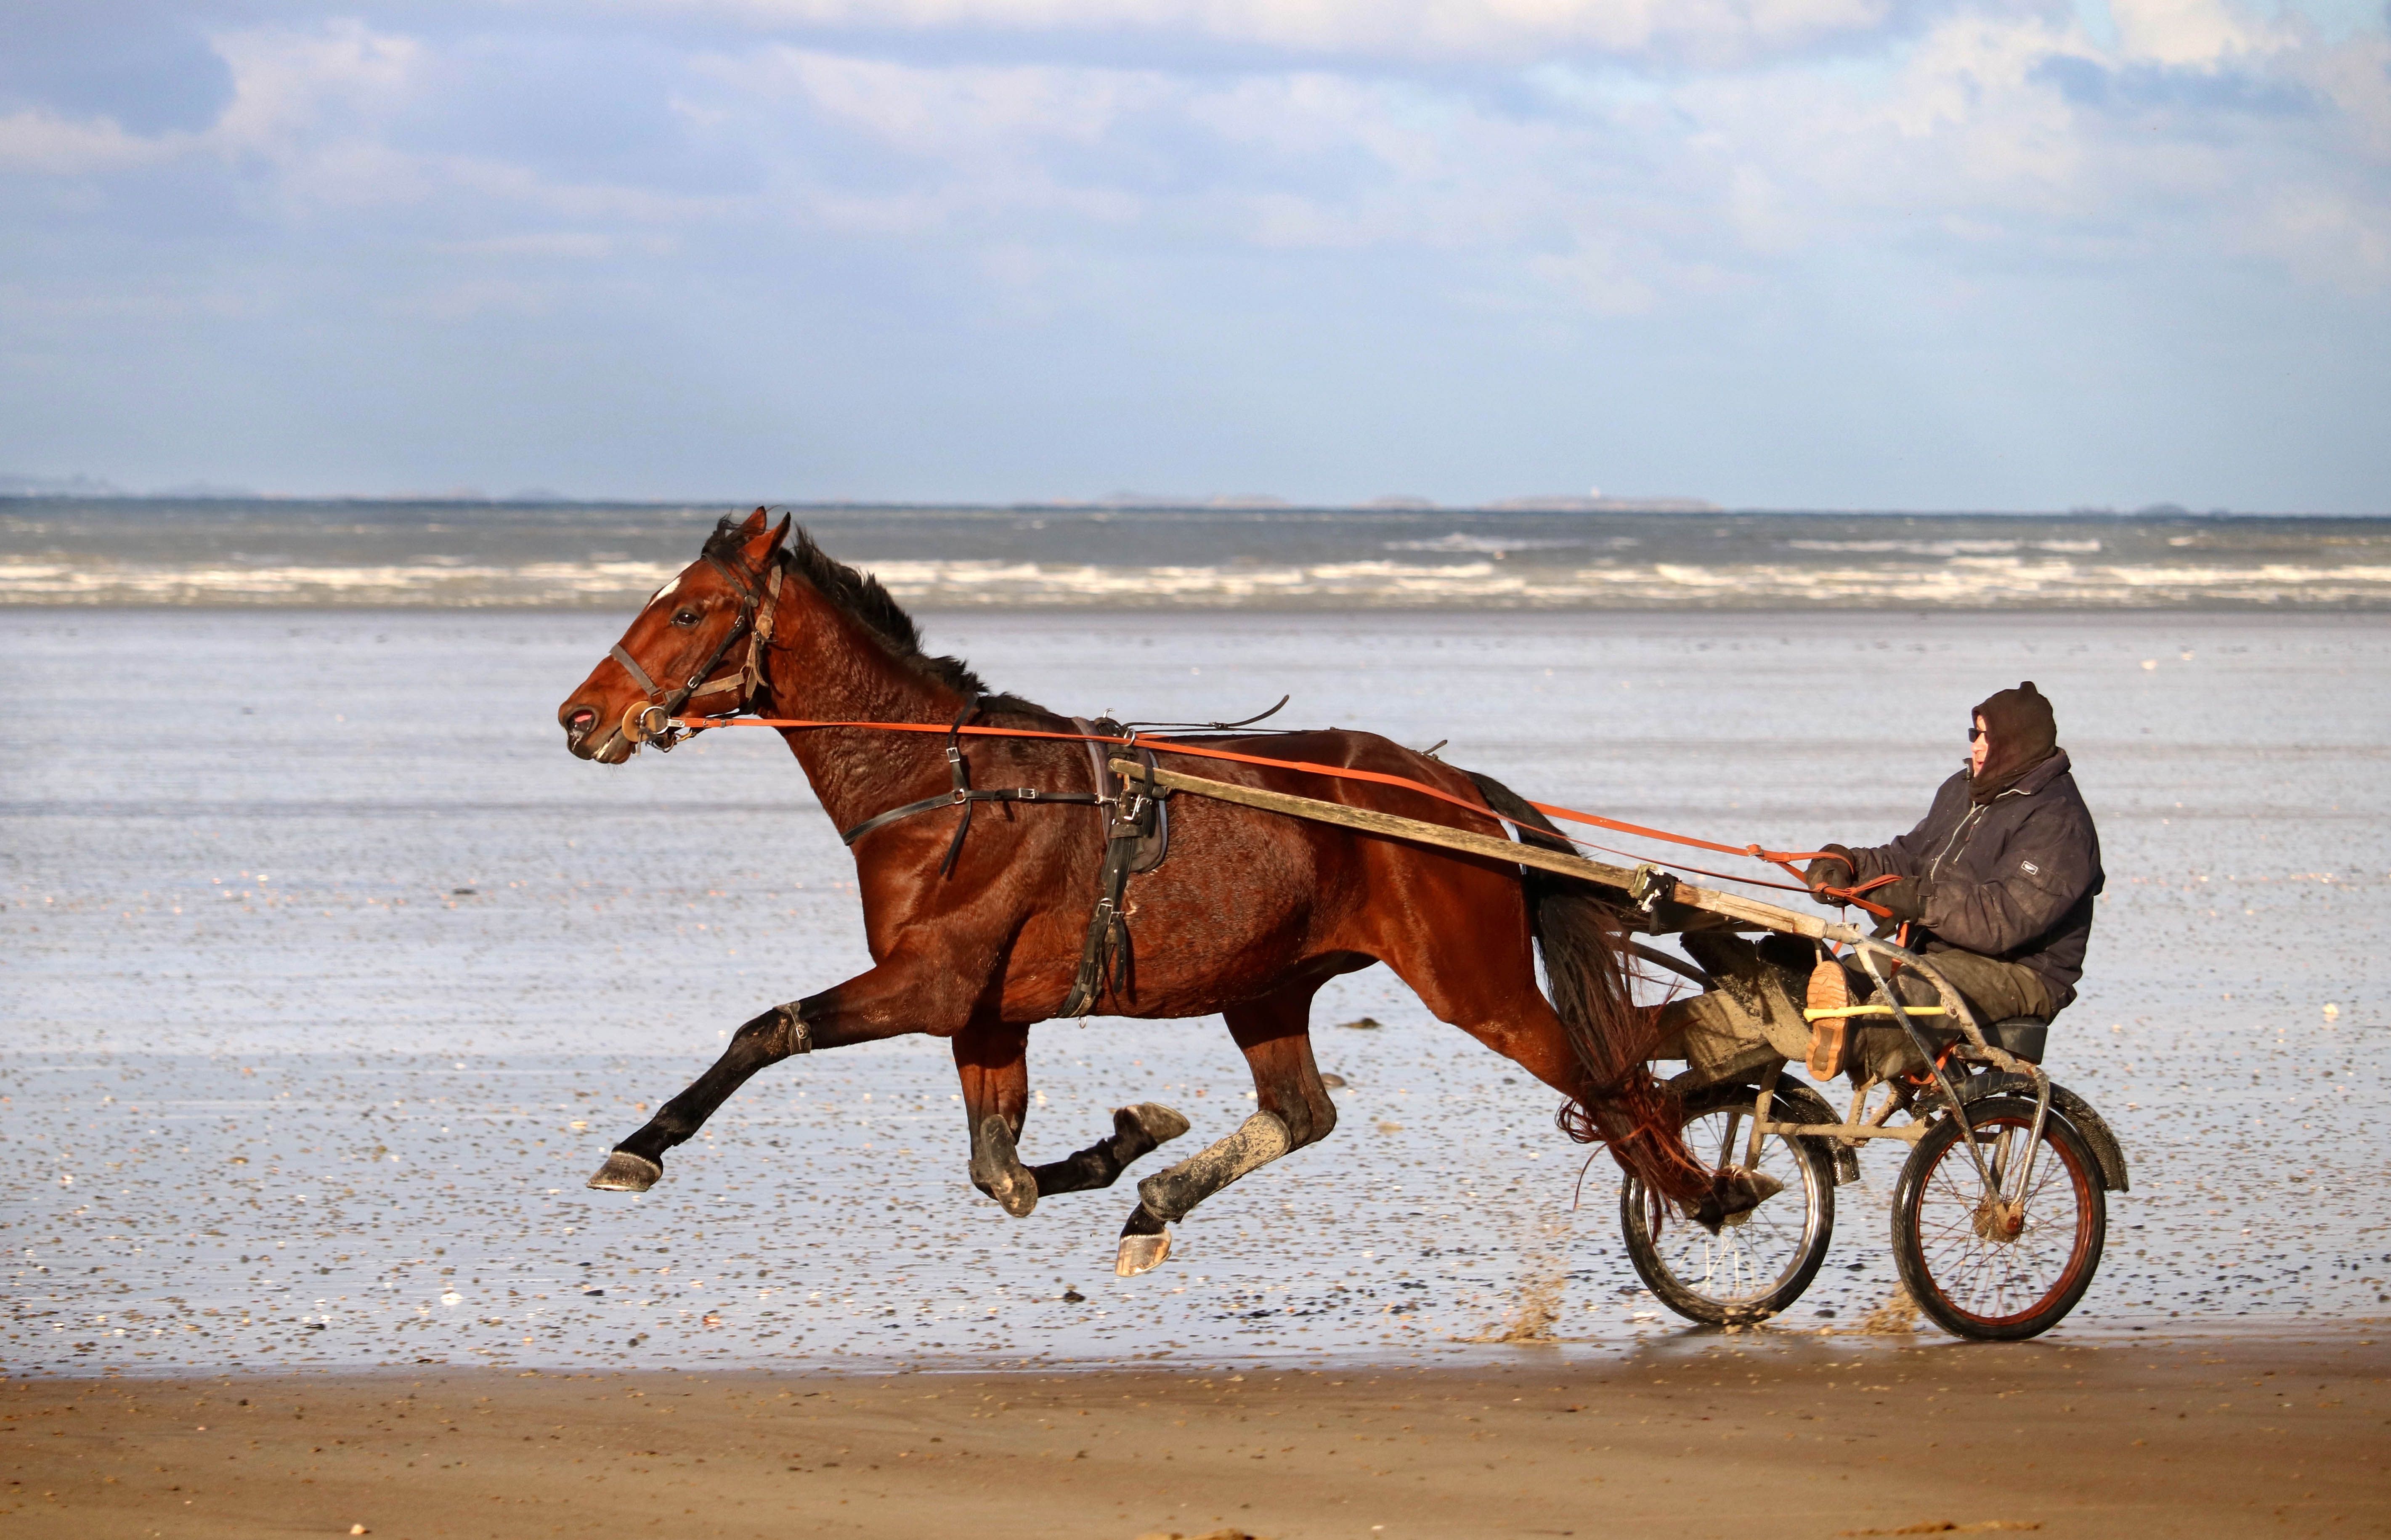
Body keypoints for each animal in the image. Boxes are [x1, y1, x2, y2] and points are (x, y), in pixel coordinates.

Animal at [556, 509, 1732, 1276]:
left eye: (692, 611)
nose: (579, 715)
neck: (949, 784)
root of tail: (1451, 789)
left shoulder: (928, 983)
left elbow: (767, 1029)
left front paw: (641, 1145)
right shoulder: (986, 1009)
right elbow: (1000, 1169)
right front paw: (1122, 1144)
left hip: (1474, 984)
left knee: (1612, 1075)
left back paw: (1716, 1188)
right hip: (1266, 981)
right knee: (1302, 1112)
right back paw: (1157, 1202)